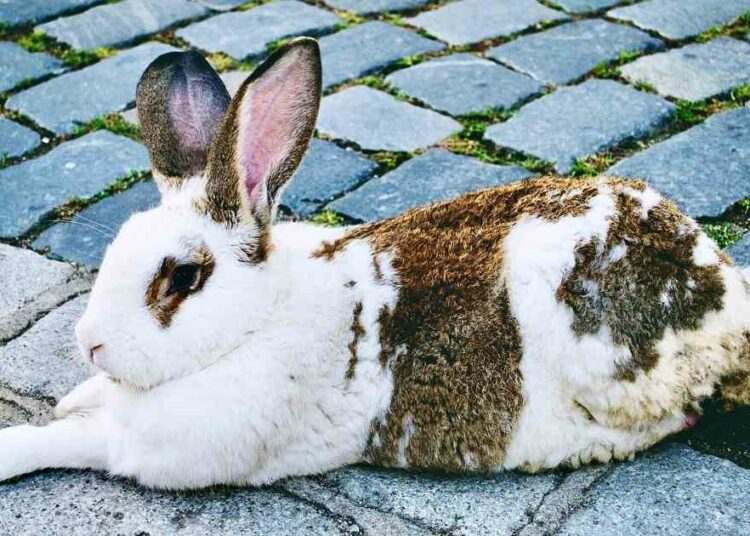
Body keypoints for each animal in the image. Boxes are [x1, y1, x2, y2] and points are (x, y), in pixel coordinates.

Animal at [1, 36, 750, 490]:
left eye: (183, 278)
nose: (91, 343)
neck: (256, 321)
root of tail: (719, 294)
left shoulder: (150, 449)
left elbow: (70, 441)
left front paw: (17, 448)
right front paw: (74, 392)